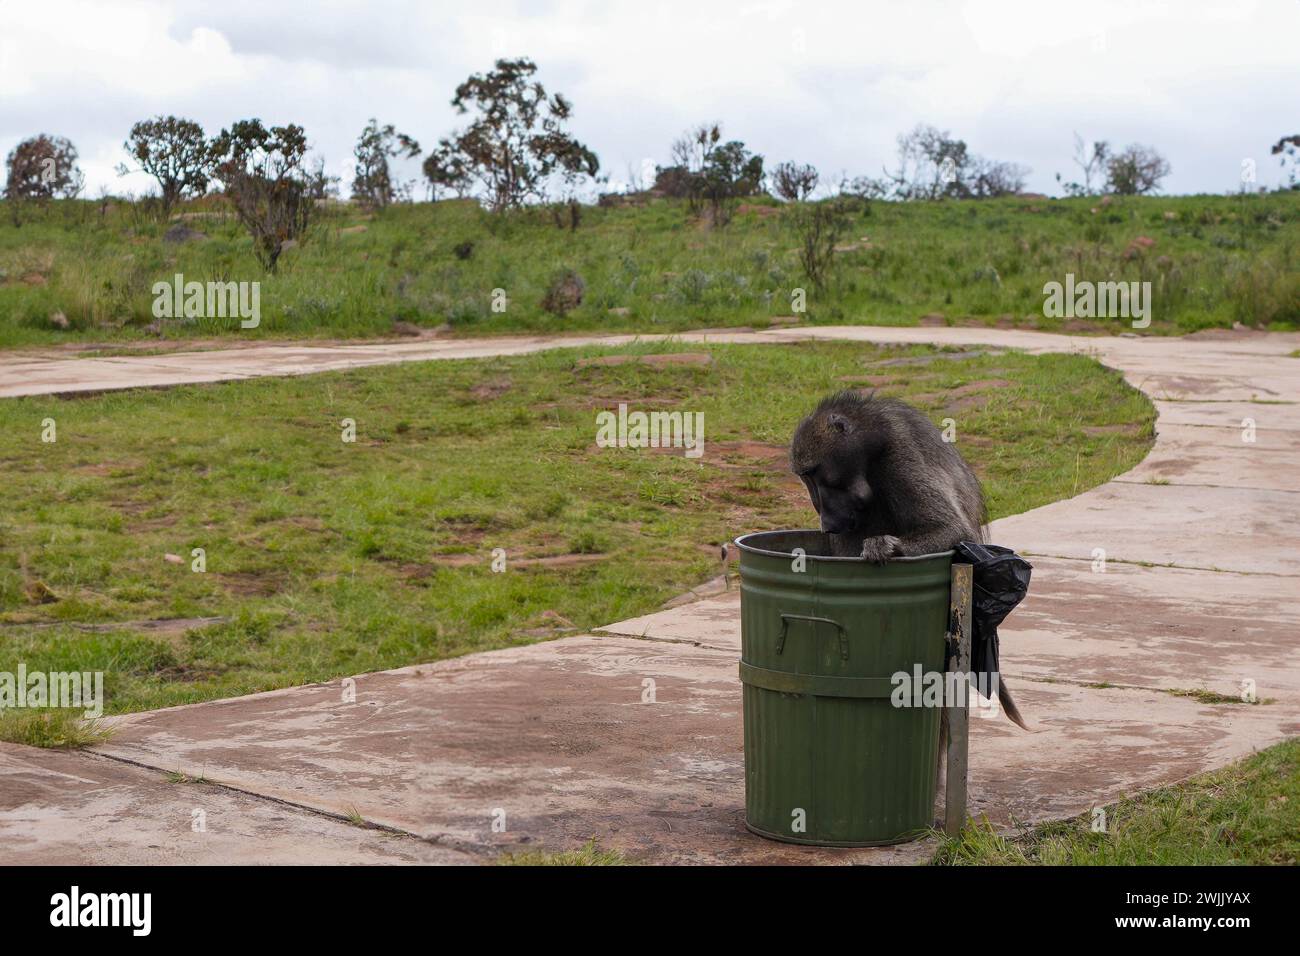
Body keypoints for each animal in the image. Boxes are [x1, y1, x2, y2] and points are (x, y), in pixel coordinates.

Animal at [790, 390, 1028, 731]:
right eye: (804, 477)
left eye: (813, 473)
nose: (826, 524)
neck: (870, 448)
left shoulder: (900, 456)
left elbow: (952, 528)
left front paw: (884, 548)